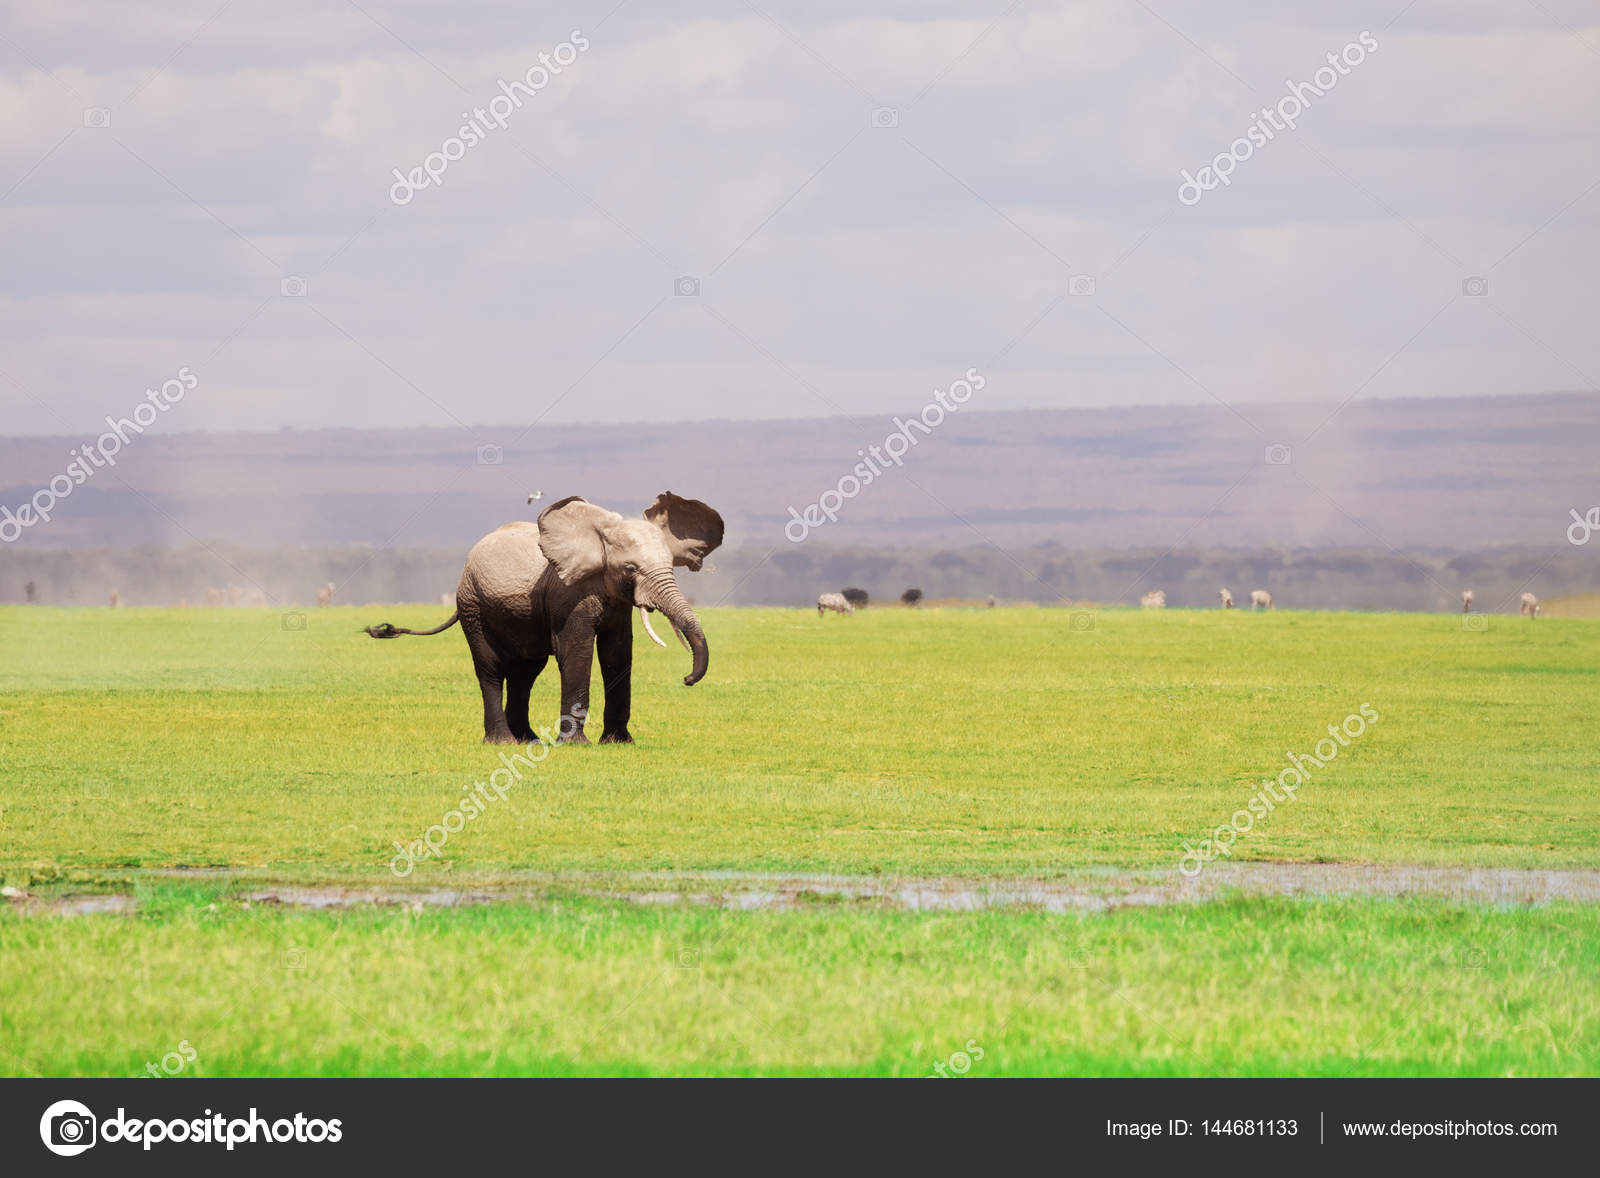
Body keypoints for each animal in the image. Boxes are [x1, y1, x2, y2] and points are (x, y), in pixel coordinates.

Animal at [364, 492, 724, 745]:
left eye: (670, 563)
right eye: (631, 569)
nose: (686, 679)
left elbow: (618, 654)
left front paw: (619, 743)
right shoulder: (567, 593)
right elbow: (576, 652)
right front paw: (577, 744)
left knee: (525, 673)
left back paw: (527, 739)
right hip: (472, 605)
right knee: (490, 669)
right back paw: (502, 742)